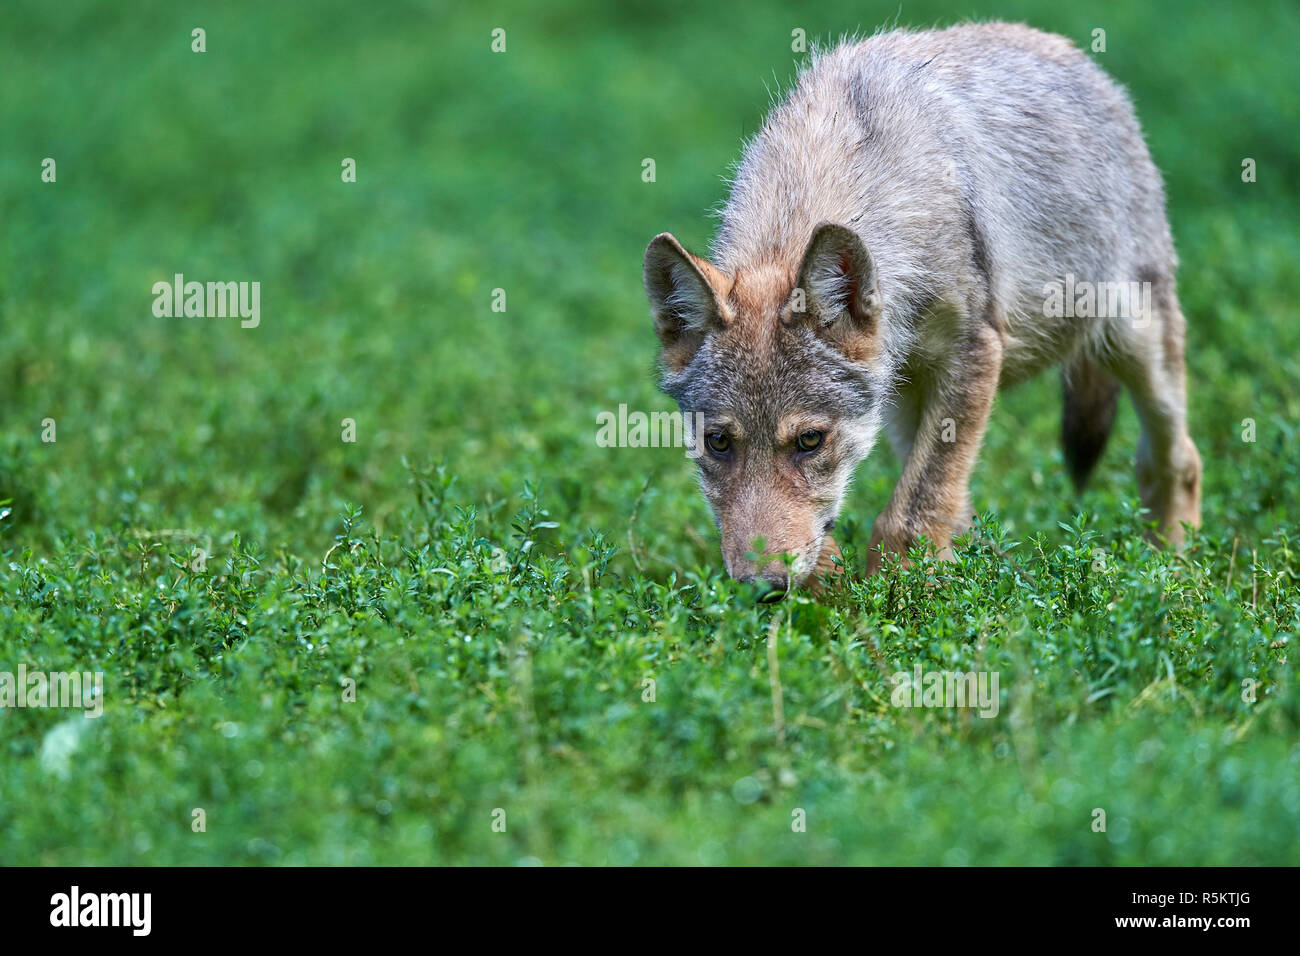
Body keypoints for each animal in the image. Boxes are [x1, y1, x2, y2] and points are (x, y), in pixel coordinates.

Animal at [643, 22, 1201, 594]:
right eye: (718, 443)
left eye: (809, 441)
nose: (761, 586)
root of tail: (1072, 54)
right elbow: (925, 505)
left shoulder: (975, 352)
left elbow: (911, 513)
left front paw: (906, 597)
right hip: (905, 402)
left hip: (1131, 344)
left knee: (1175, 458)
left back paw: (1172, 571)